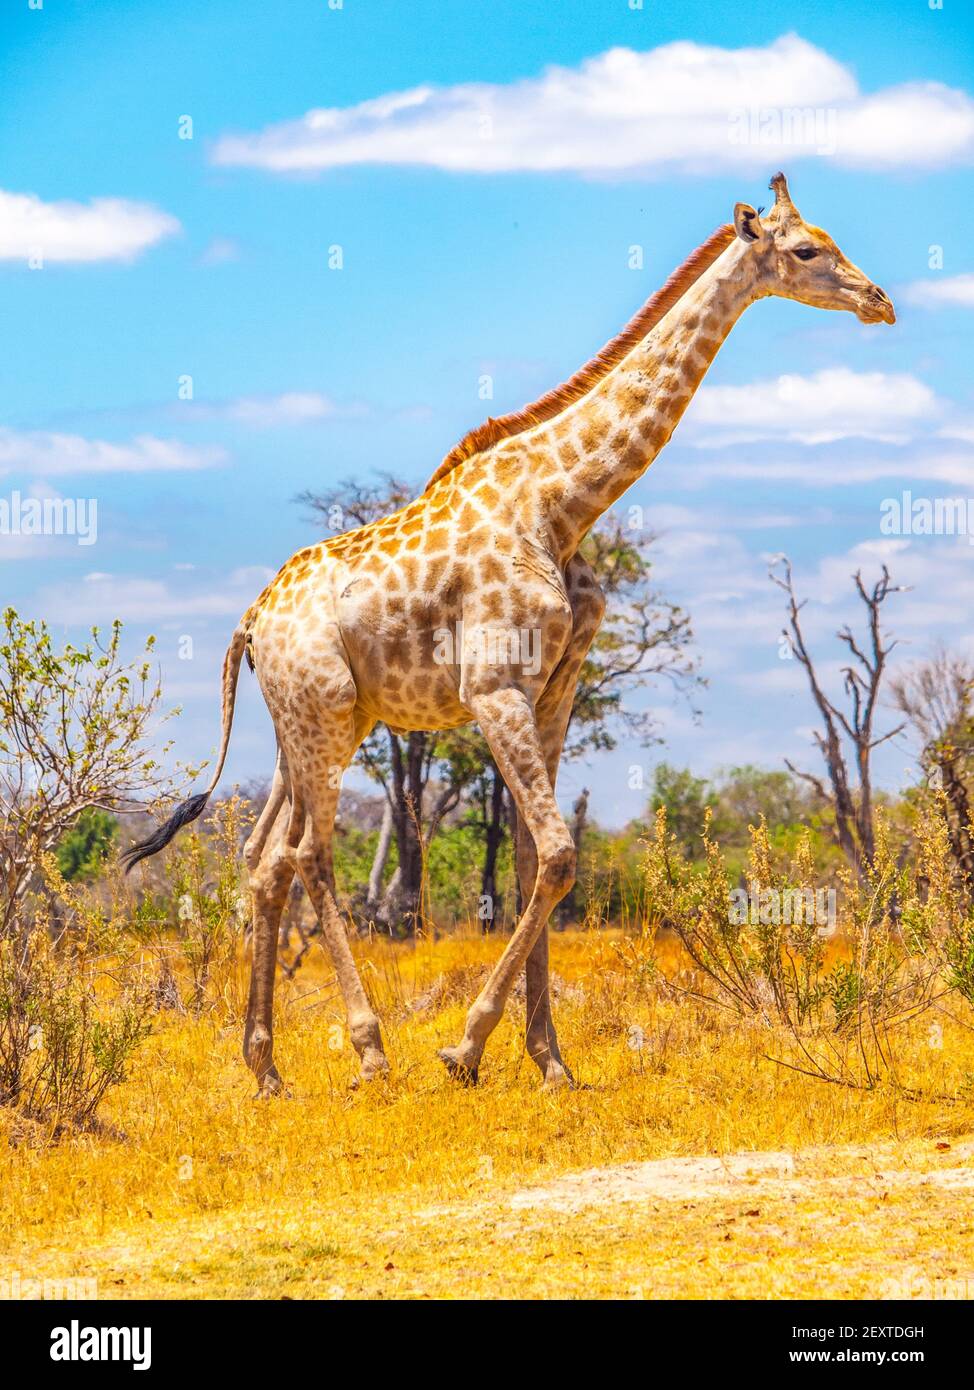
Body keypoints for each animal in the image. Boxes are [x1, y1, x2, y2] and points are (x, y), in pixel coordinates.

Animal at [124, 173, 894, 1093]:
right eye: (809, 250)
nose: (880, 300)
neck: (563, 503)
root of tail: (249, 618)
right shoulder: (493, 688)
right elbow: (560, 854)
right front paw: (465, 1047)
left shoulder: (556, 691)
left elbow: (534, 859)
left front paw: (549, 1057)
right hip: (326, 717)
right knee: (310, 855)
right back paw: (369, 1050)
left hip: (305, 727)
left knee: (264, 856)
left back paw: (265, 1064)